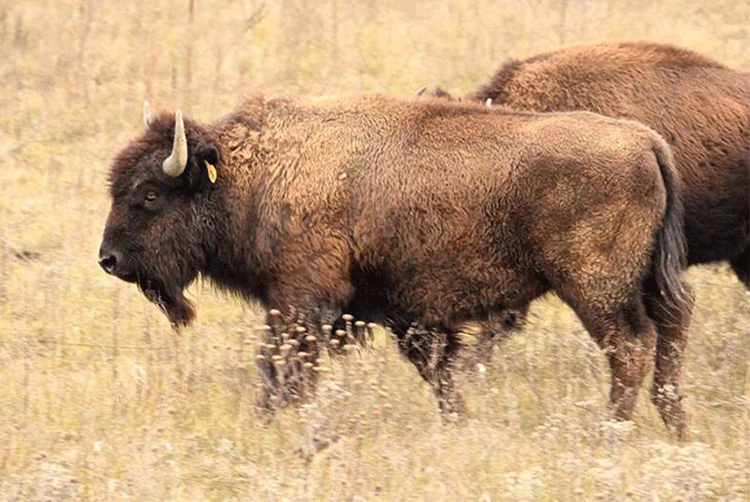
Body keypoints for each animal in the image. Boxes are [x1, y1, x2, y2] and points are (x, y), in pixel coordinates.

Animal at [98, 94, 691, 435]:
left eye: (150, 195)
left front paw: (264, 423)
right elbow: (436, 369)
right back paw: (674, 424)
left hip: (596, 288)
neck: (256, 172)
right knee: (671, 333)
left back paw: (609, 430)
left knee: (631, 346)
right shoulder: (403, 312)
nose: (108, 258)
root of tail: (644, 141)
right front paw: (458, 425)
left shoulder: (299, 301)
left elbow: (281, 369)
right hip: (649, 282)